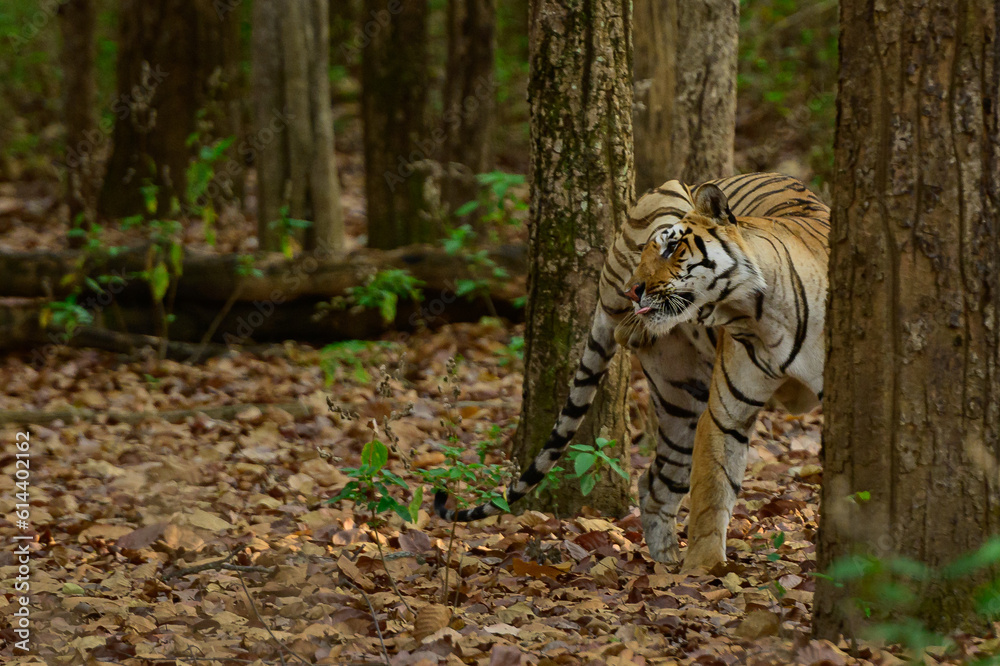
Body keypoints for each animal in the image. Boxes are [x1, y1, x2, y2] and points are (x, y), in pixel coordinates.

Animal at [435, 172, 830, 571]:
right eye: (652, 250)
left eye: (673, 248)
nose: (634, 289)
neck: (757, 311)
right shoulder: (724, 413)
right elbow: (712, 493)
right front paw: (704, 572)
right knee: (625, 341)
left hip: (681, 405)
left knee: (655, 484)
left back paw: (666, 566)